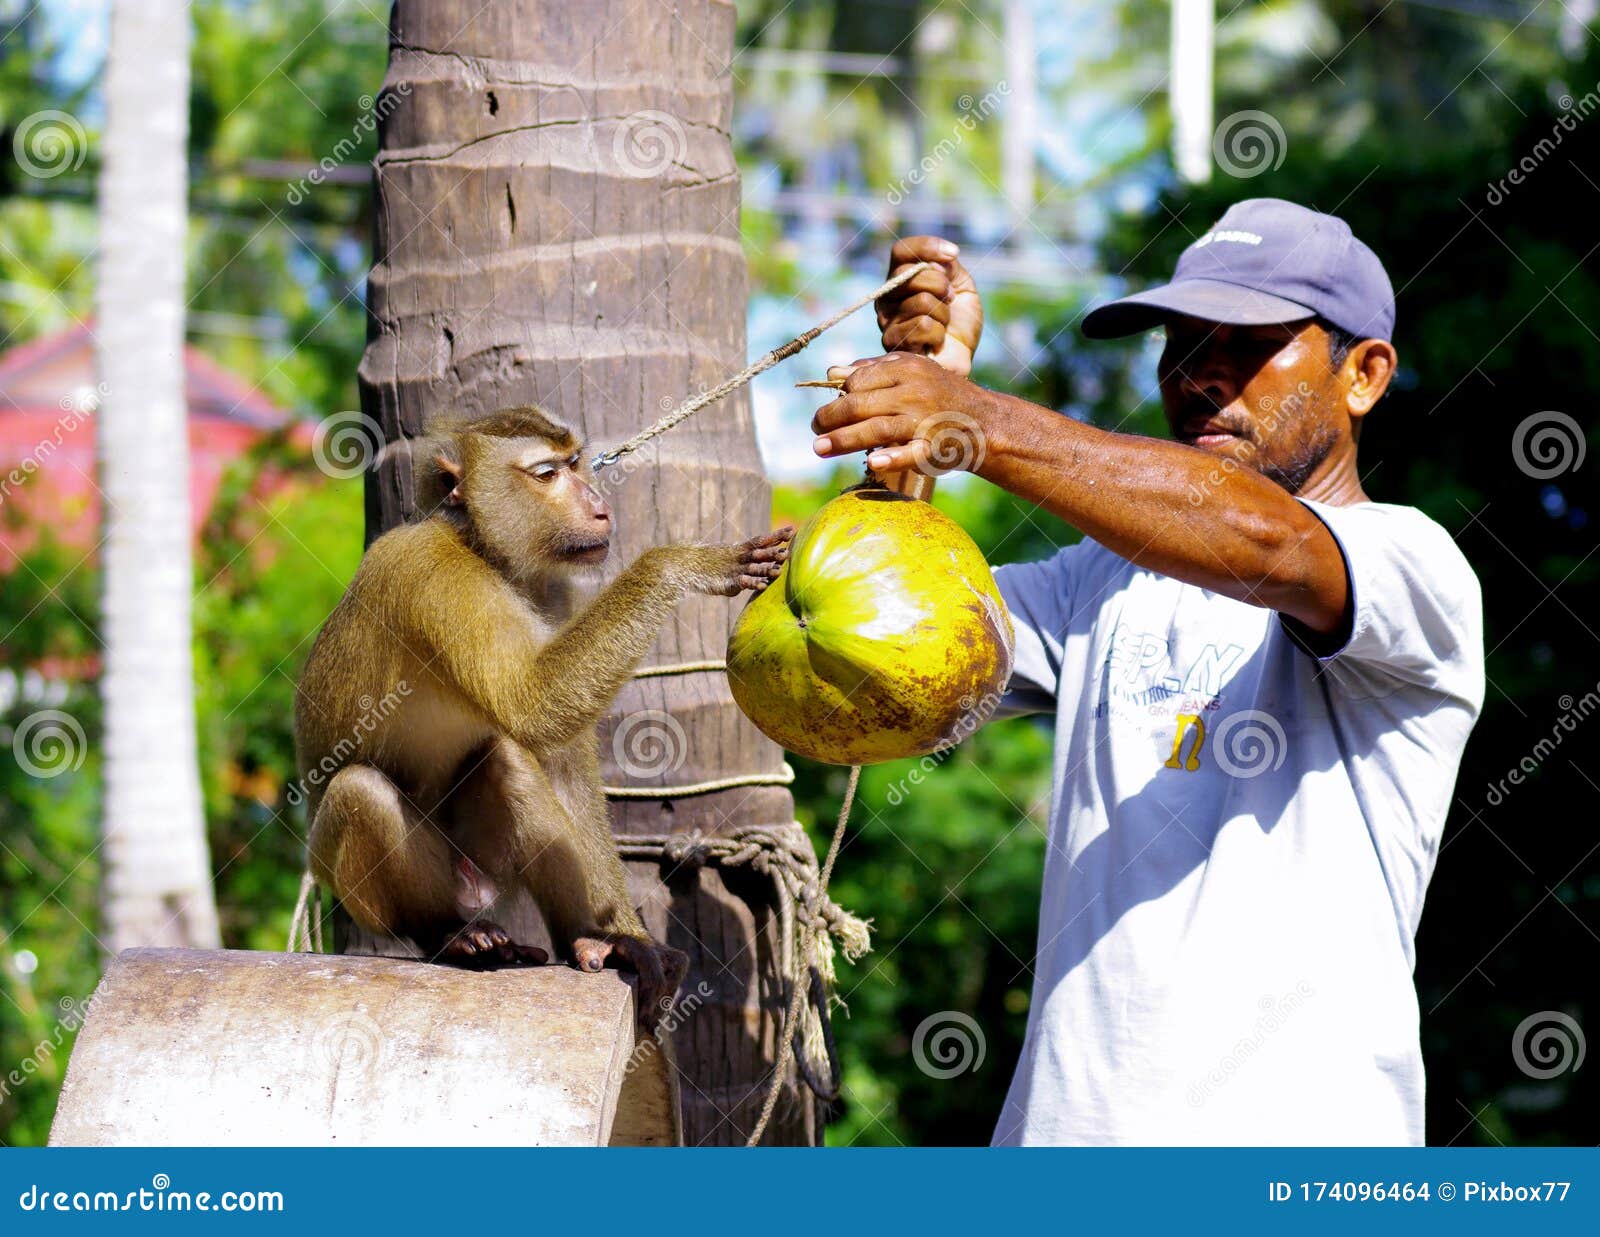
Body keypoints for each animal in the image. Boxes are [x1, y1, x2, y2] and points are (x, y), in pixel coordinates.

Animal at [293, 406, 792, 1020]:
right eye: (547, 474)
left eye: (576, 463)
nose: (598, 503)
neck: (483, 551)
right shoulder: (429, 572)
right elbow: (534, 700)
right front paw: (682, 563)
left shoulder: (553, 593)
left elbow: (561, 759)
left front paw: (627, 934)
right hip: (360, 888)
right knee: (361, 791)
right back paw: (453, 937)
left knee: (507, 763)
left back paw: (591, 939)